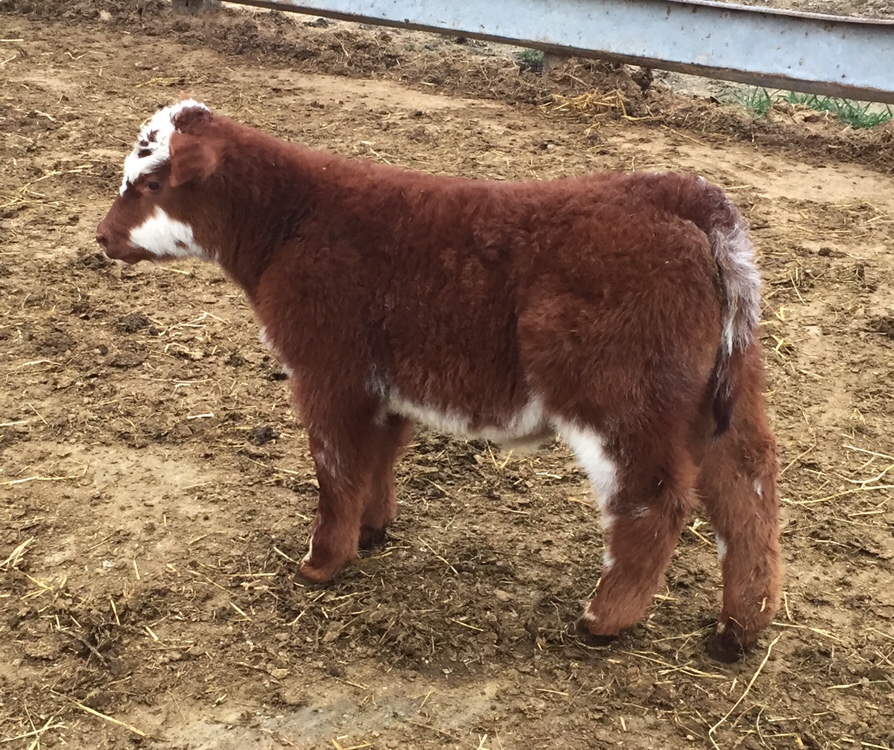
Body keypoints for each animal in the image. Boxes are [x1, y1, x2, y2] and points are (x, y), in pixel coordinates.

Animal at [96, 100, 782, 661]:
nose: (102, 236)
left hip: (622, 402)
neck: (295, 221)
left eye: (150, 182)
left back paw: (604, 620)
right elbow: (377, 460)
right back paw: (737, 632)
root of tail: (683, 198)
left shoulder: (329, 372)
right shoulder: (385, 387)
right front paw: (372, 532)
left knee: (654, 501)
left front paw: (321, 563)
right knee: (747, 491)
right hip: (728, 392)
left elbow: (336, 467)